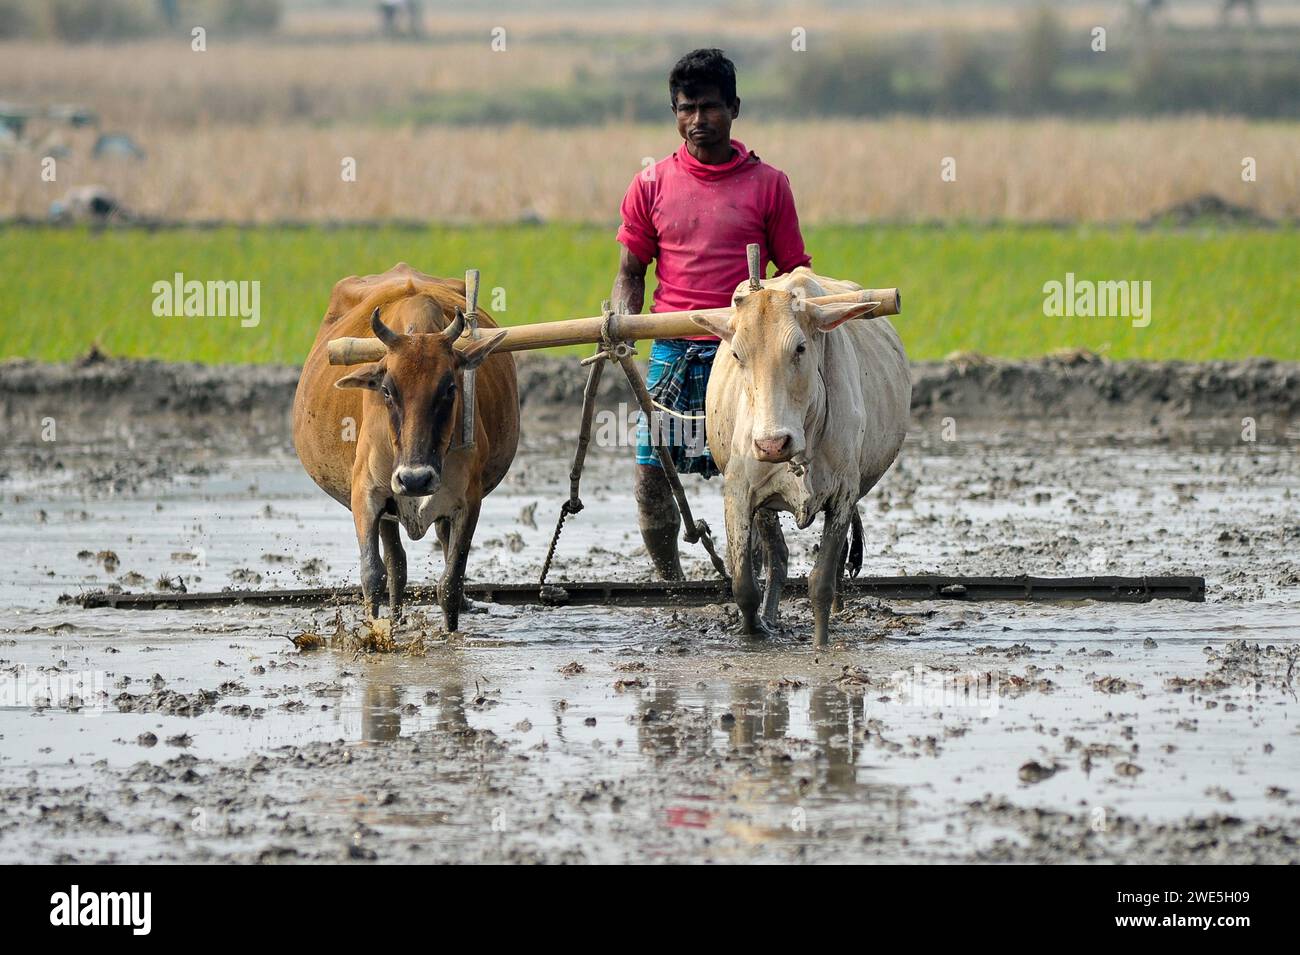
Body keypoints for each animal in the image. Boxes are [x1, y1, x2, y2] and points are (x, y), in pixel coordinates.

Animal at [293, 263, 518, 632]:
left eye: (450, 388)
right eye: (386, 390)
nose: (415, 479)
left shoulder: (468, 503)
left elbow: (450, 583)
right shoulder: (366, 496)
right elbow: (374, 574)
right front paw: (374, 631)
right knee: (396, 564)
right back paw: (395, 621)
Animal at [691, 267, 910, 649]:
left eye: (800, 348)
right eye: (737, 355)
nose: (771, 444)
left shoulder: (843, 495)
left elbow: (820, 582)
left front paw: (821, 643)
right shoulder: (738, 493)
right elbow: (744, 585)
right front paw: (752, 636)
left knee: (834, 566)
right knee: (777, 558)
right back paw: (768, 618)